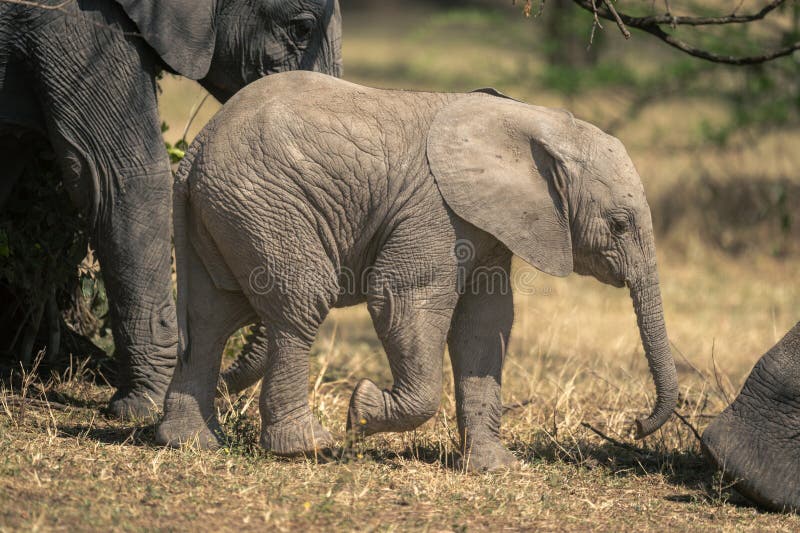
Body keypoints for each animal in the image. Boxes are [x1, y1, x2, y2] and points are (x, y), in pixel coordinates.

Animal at [157, 71, 678, 471]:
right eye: (619, 224)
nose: (636, 424)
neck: (532, 120)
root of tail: (196, 149)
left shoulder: (490, 224)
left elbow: (485, 324)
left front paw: (495, 469)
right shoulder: (435, 211)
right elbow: (404, 299)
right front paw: (362, 410)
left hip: (225, 211)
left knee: (210, 317)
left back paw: (192, 442)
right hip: (263, 206)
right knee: (299, 305)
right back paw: (308, 447)